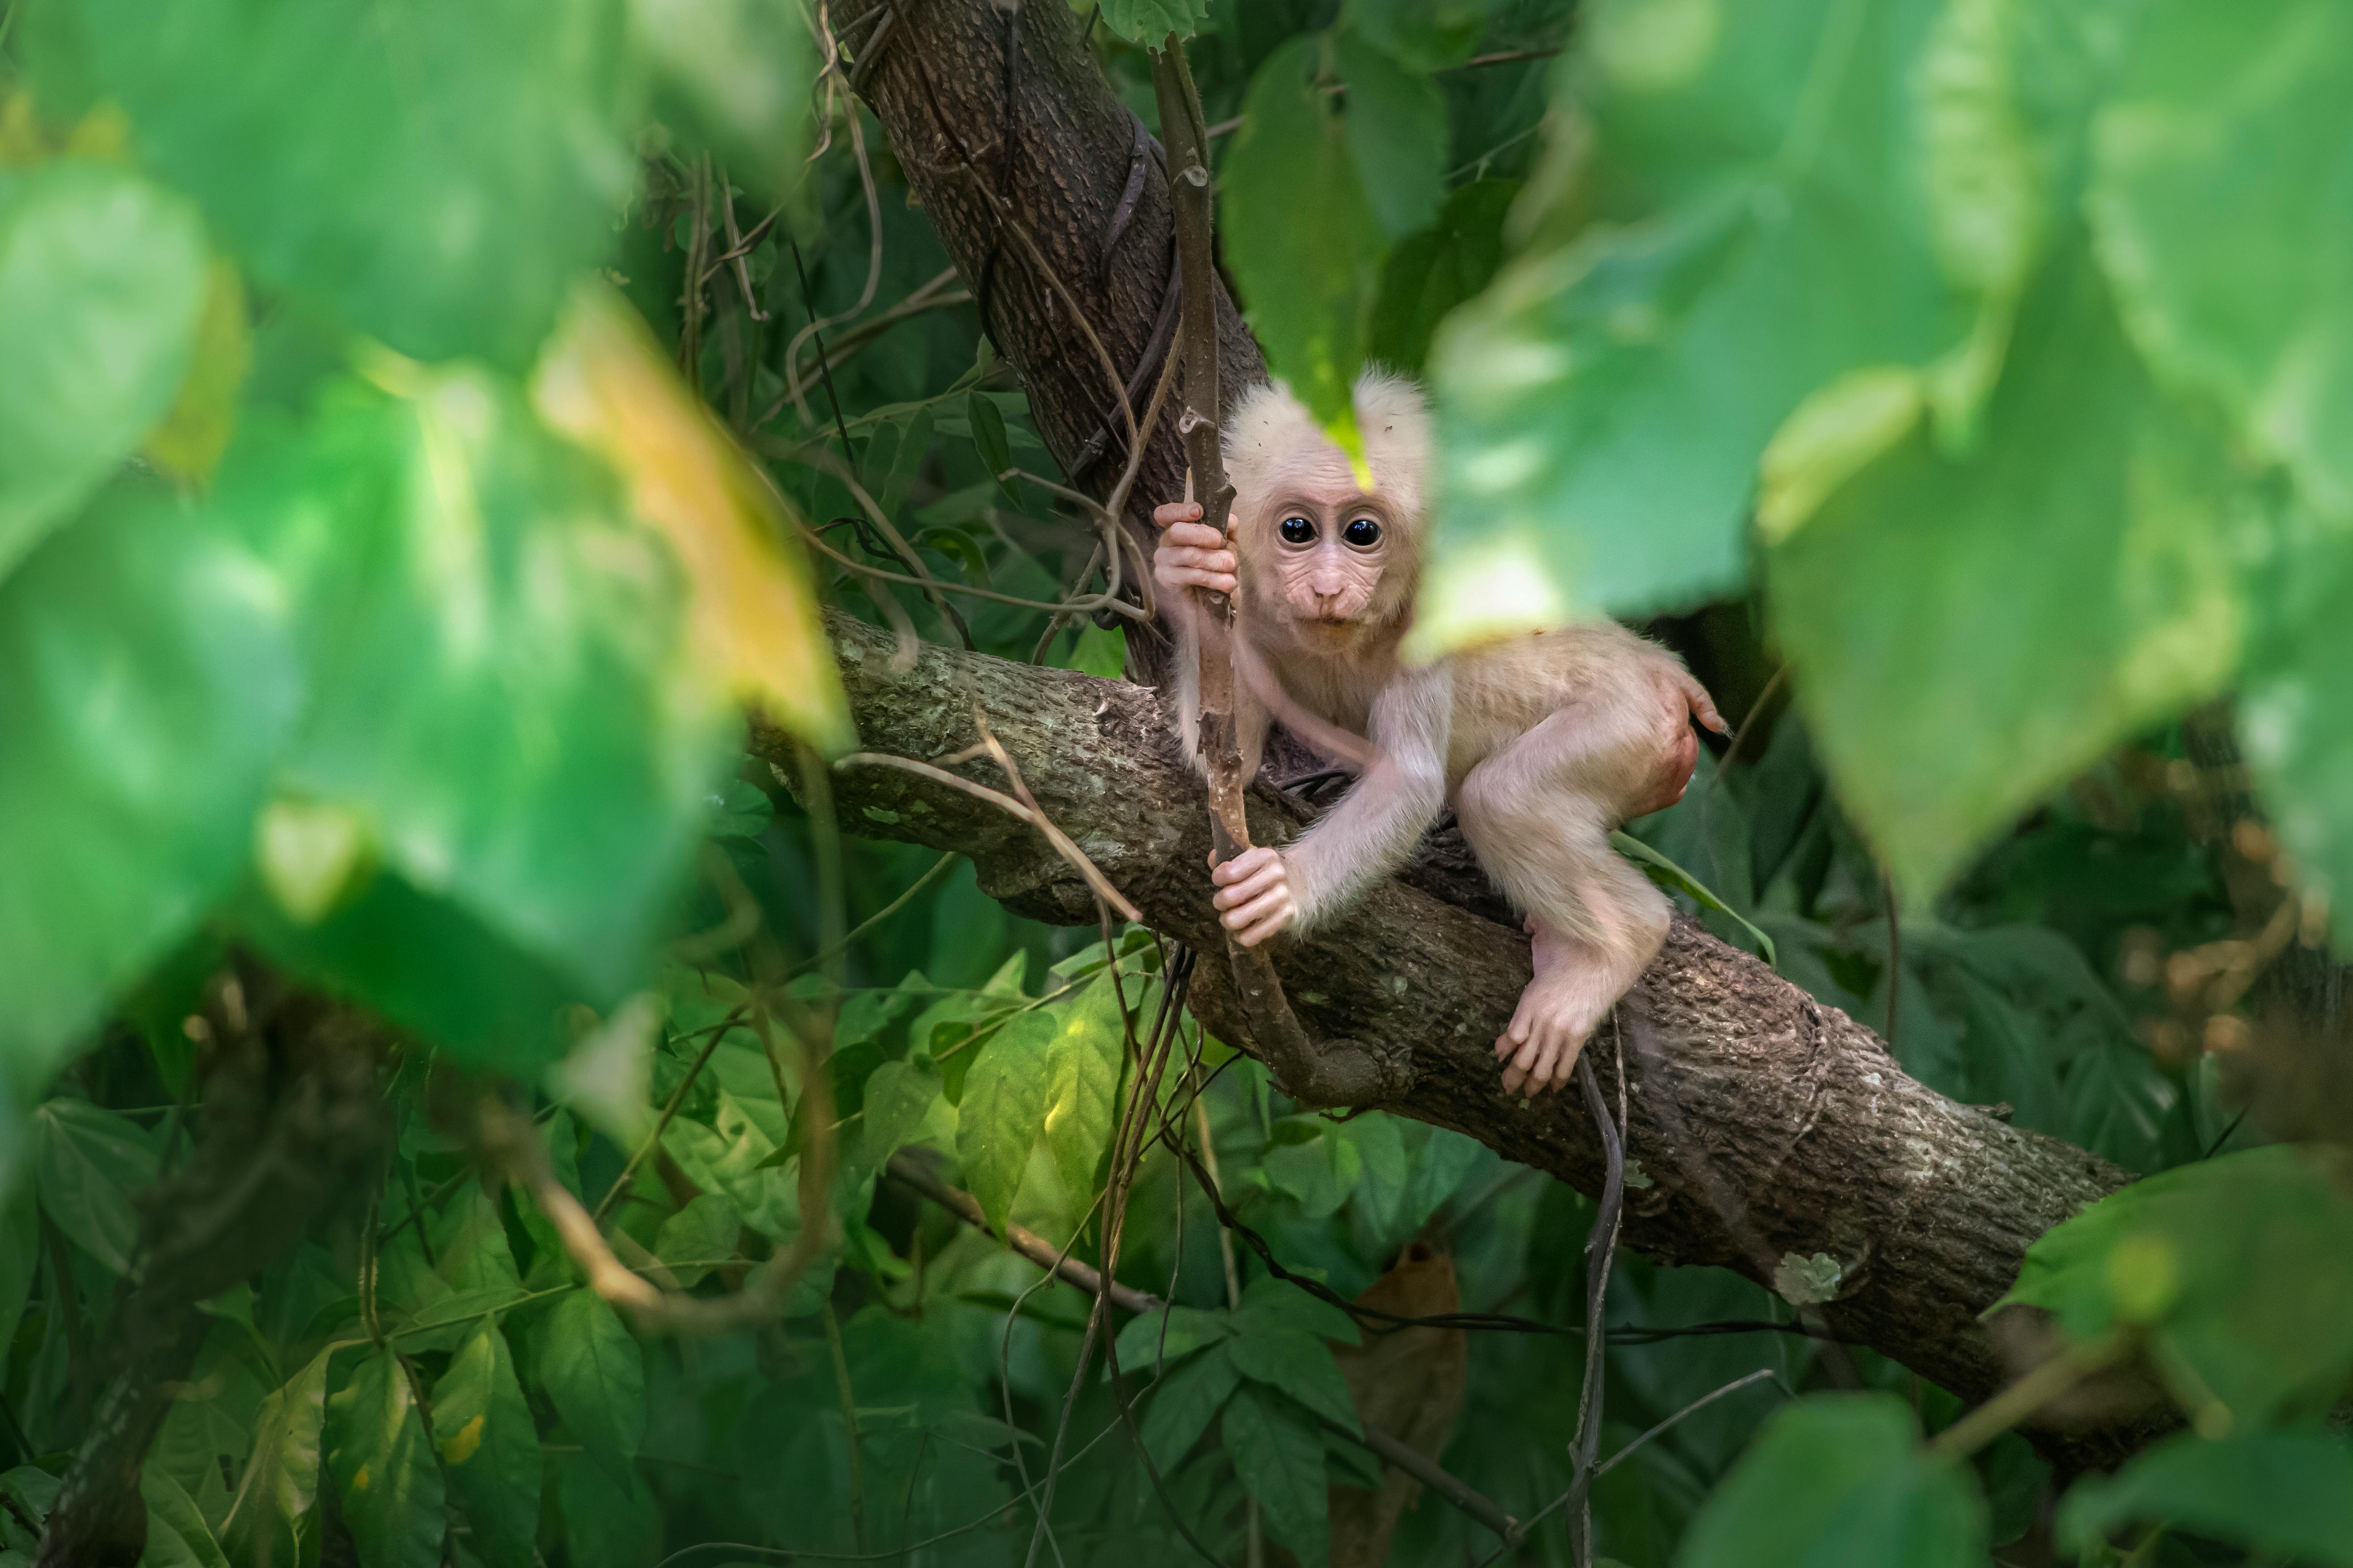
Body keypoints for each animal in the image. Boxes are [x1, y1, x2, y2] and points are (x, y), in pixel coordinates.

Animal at [1153, 371, 1726, 1095]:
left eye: (1362, 532)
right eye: (1297, 530)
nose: (1328, 588)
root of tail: (1668, 676)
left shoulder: (1427, 612)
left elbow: (1409, 781)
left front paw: (1283, 890)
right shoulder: (1251, 604)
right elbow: (1228, 760)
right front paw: (1184, 562)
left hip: (1630, 722)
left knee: (1502, 798)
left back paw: (1617, 945)